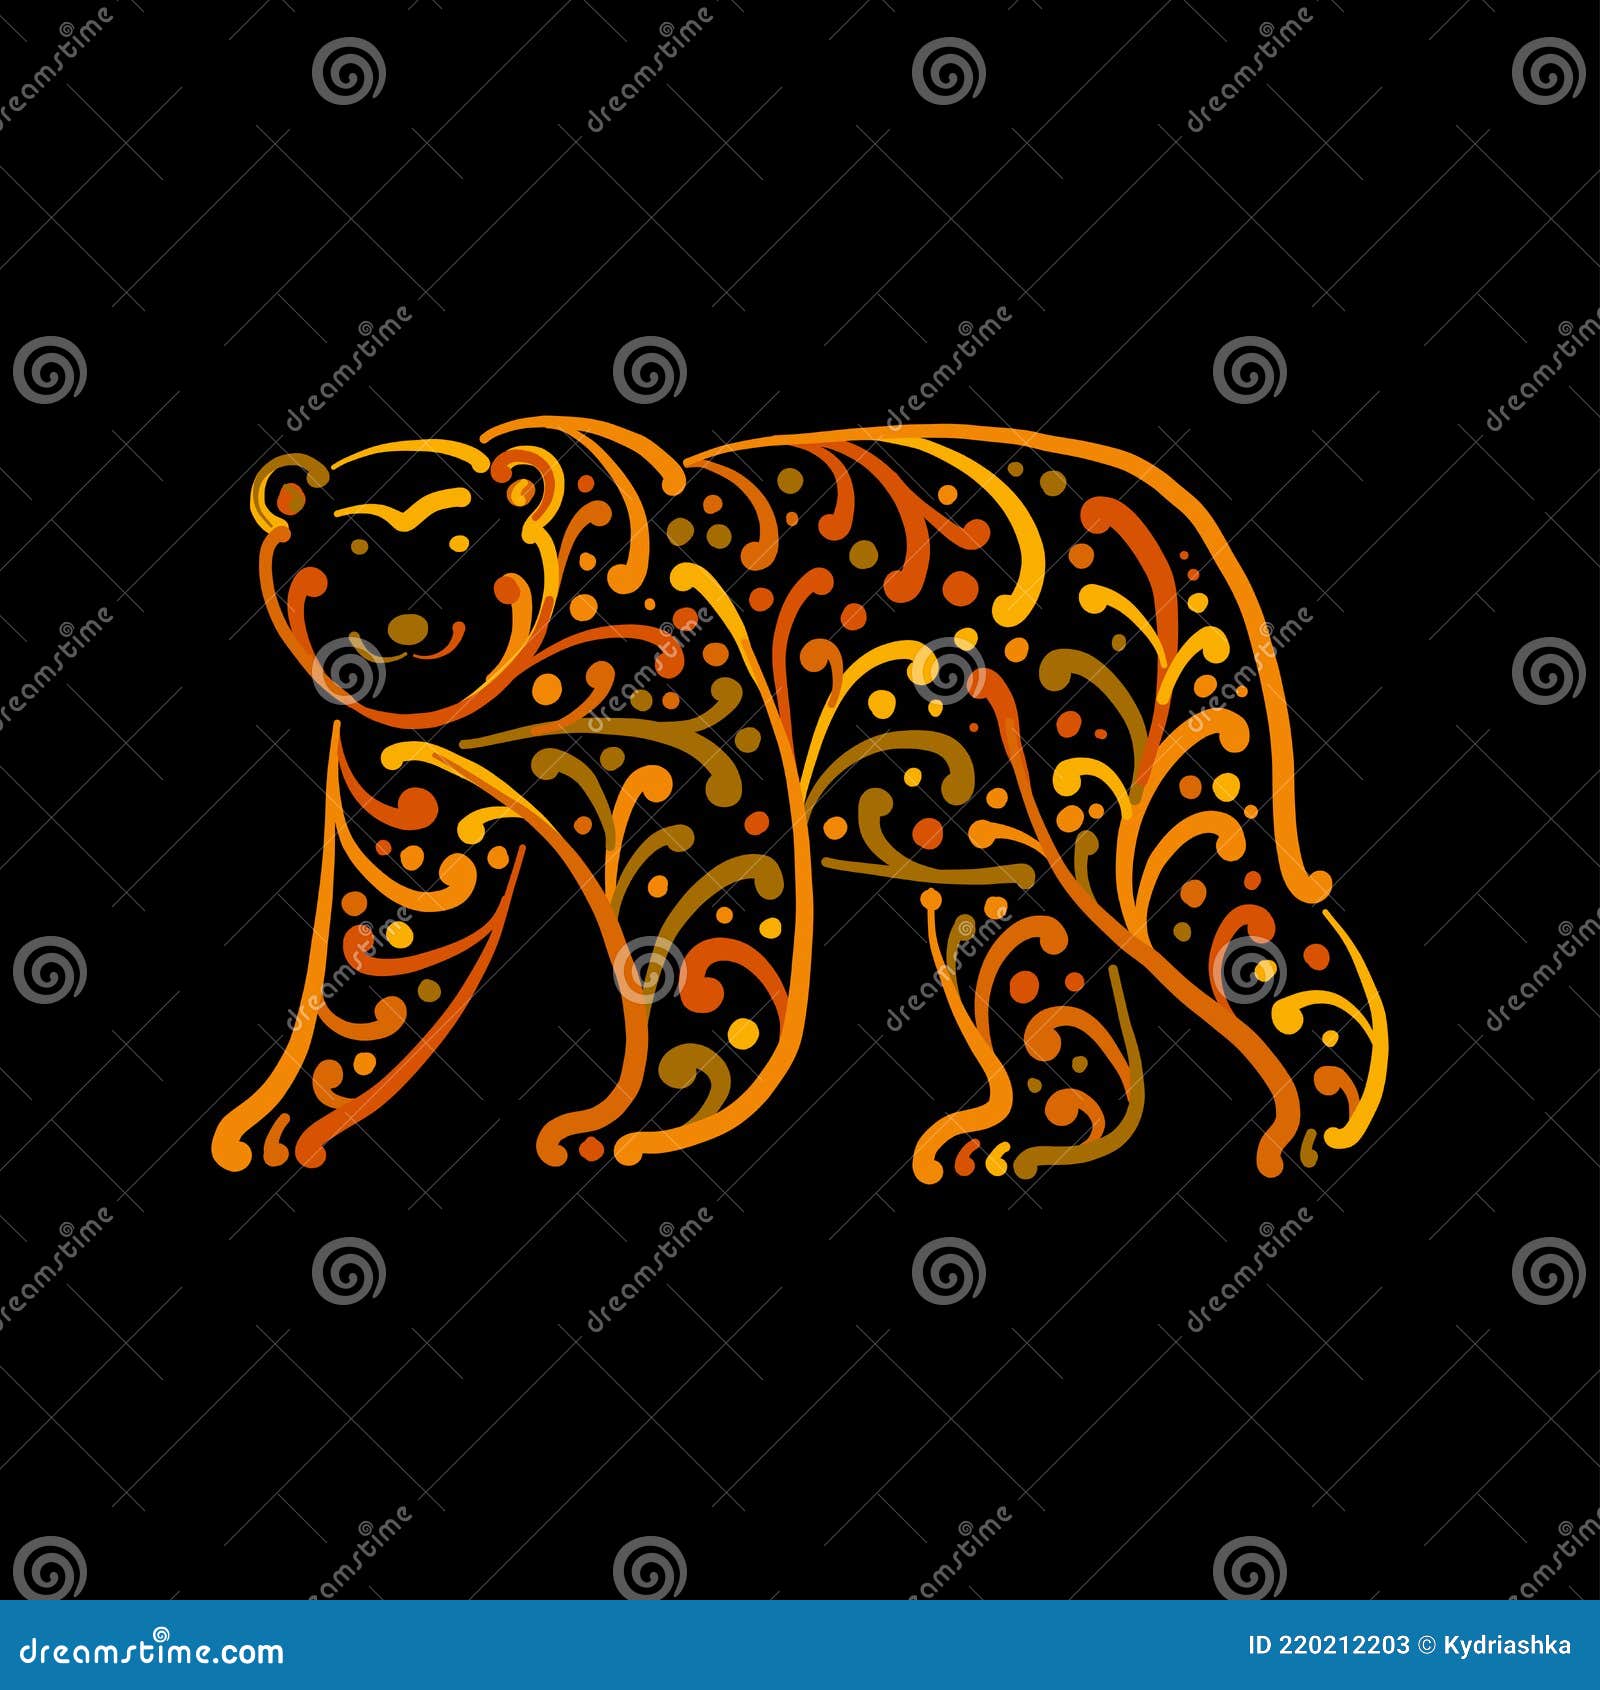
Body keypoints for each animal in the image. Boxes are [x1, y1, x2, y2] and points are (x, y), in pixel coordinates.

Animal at [212, 418, 1387, 1185]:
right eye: (348, 551)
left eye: (463, 549)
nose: (407, 631)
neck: (486, 701)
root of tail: (1176, 517)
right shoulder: (403, 796)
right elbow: (379, 967)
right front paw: (274, 1126)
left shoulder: (685, 755)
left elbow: (694, 945)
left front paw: (630, 1122)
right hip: (979, 836)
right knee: (1035, 967)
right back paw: (1014, 1136)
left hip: (1118, 774)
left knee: (1223, 912)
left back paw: (1315, 1124)